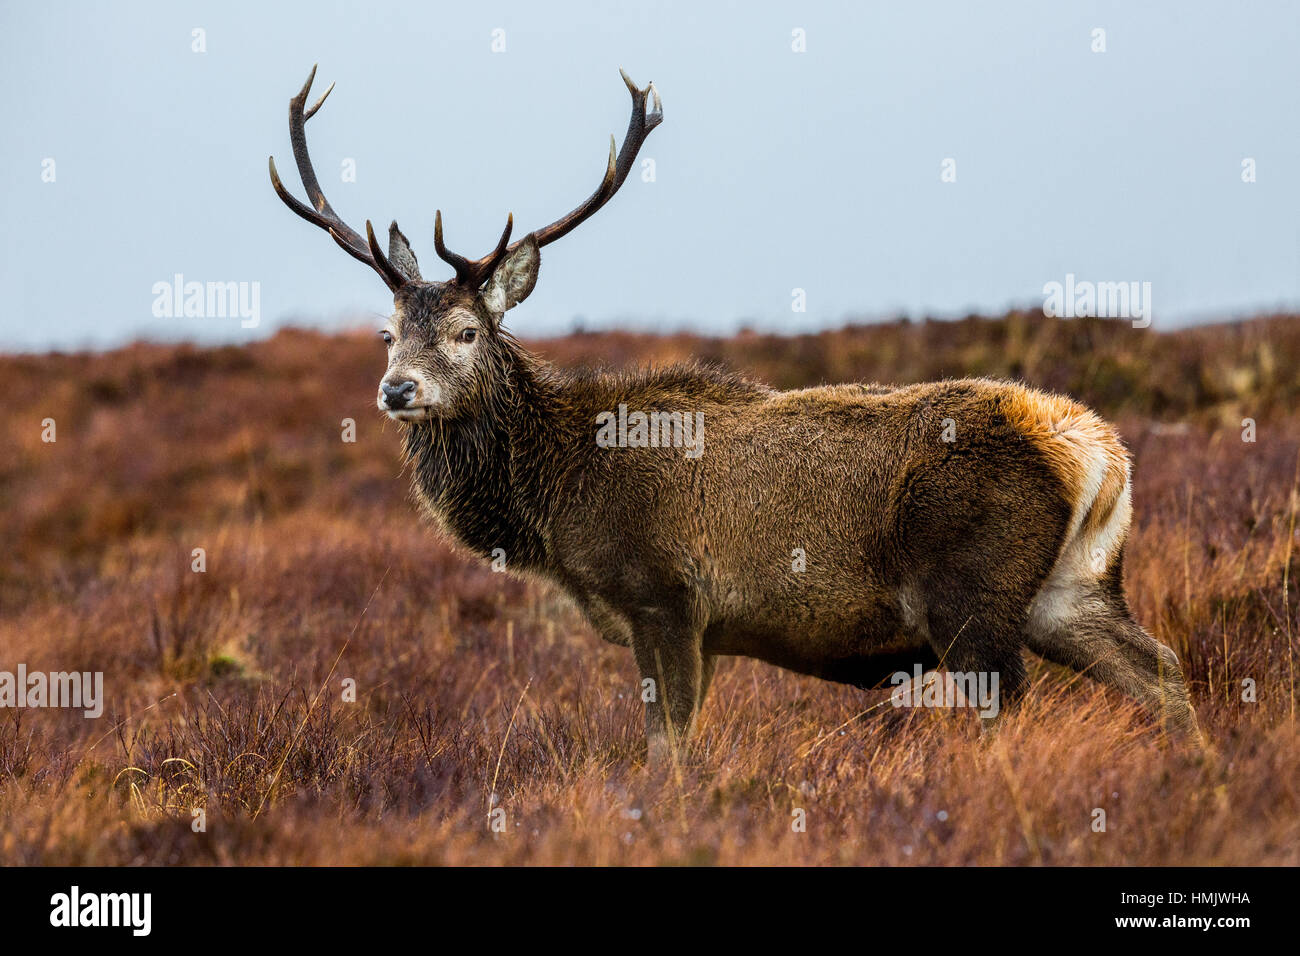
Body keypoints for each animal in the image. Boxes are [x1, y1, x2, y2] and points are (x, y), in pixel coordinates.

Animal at [270, 66, 1203, 764]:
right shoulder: (706, 628)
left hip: (971, 591)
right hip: (1073, 586)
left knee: (1013, 704)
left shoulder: (662, 595)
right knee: (1163, 672)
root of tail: (1098, 451)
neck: (555, 501)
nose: (397, 391)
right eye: (387, 333)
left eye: (467, 331)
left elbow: (668, 752)